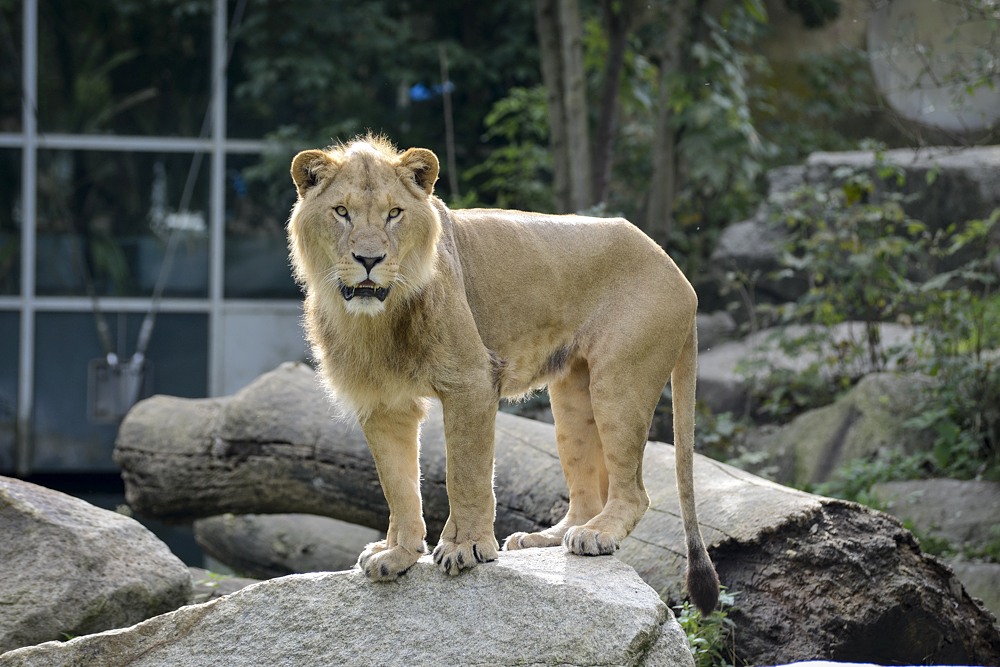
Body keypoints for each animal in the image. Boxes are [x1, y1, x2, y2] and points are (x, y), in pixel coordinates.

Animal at [288, 133, 720, 612]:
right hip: (572, 394)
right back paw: (546, 537)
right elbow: (398, 484)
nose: (370, 259)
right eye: (341, 211)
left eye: (394, 213)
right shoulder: (382, 403)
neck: (376, 320)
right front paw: (397, 554)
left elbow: (465, 473)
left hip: (619, 381)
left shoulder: (472, 381)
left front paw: (465, 547)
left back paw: (595, 535)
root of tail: (677, 272)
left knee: (634, 492)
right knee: (587, 489)